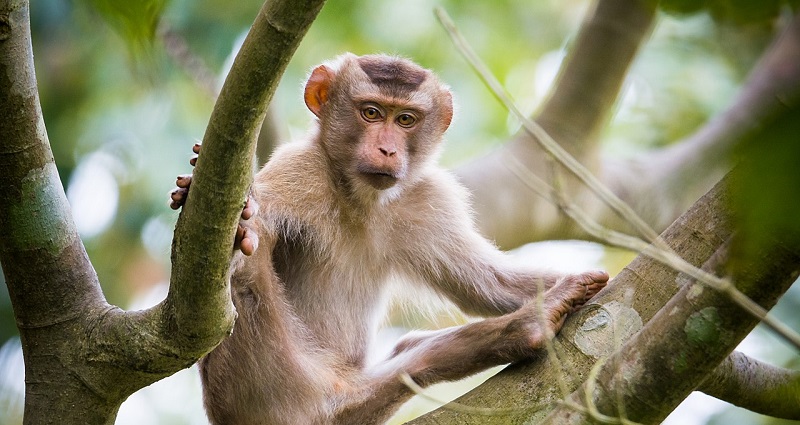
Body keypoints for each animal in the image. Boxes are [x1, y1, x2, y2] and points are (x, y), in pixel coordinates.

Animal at [169, 53, 609, 425]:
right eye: (371, 112)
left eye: (406, 120)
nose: (386, 149)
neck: (359, 199)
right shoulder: (298, 172)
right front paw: (224, 209)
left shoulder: (428, 202)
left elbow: (487, 285)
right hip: (274, 384)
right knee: (248, 277)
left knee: (409, 361)